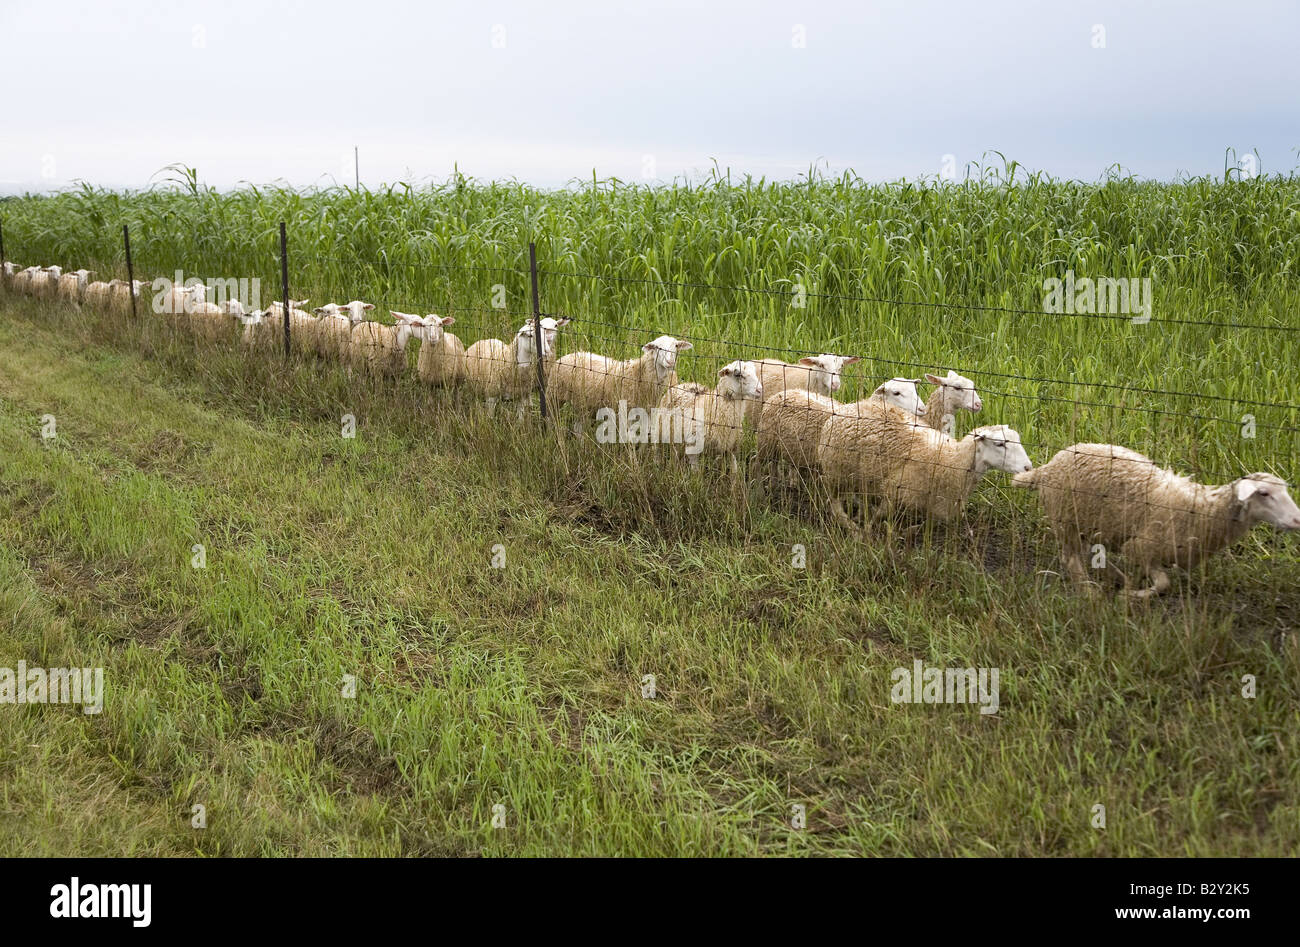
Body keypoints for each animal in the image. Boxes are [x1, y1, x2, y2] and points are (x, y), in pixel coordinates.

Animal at [547, 334, 693, 431]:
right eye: (657, 347)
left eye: (676, 346)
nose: (670, 362)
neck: (639, 374)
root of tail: (569, 355)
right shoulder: (626, 412)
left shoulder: (648, 413)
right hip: (554, 395)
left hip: (582, 403)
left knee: (578, 427)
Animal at [817, 398, 1031, 529]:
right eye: (999, 444)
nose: (1028, 467)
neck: (953, 460)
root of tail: (853, 405)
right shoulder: (895, 490)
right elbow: (881, 516)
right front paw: (867, 530)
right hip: (837, 472)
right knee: (833, 503)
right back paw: (850, 526)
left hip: (863, 475)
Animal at [1012, 444, 1300, 598]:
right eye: (1264, 494)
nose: (1297, 519)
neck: (1204, 510)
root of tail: (1048, 467)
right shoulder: (1142, 547)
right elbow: (1163, 584)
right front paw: (1132, 595)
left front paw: (1130, 587)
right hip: (1066, 520)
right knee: (1071, 558)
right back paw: (1089, 590)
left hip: (1088, 521)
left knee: (1088, 552)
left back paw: (1114, 577)